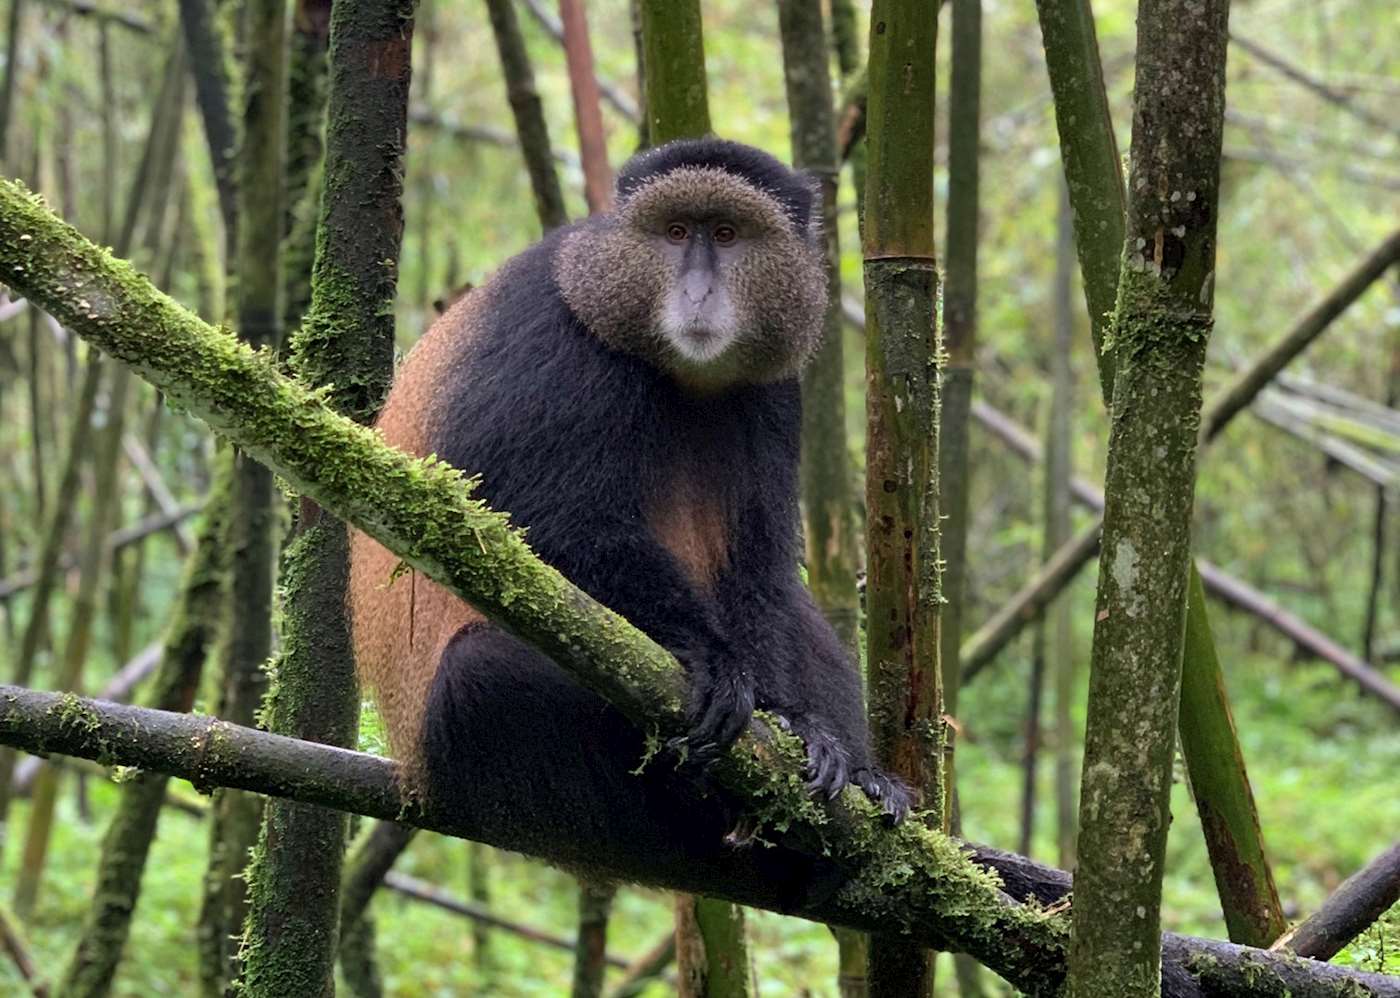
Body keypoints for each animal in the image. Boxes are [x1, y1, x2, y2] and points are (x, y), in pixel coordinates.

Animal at [348, 138, 910, 891]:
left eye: (725, 234)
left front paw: (804, 728)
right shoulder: (553, 340)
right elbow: (523, 526)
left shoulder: (779, 389)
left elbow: (760, 568)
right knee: (480, 670)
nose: (697, 291)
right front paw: (711, 661)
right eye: (674, 233)